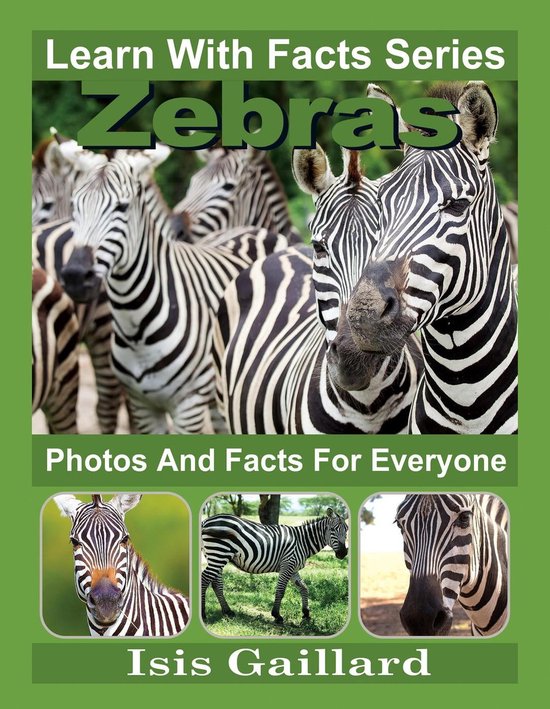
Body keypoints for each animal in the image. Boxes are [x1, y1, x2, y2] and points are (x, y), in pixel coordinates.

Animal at [58, 144, 288, 433]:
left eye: (122, 207)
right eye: (74, 206)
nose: (76, 276)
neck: (136, 326)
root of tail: (250, 229)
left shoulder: (189, 404)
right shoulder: (142, 406)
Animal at [201, 508, 348, 624]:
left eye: (346, 530)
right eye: (332, 530)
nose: (343, 553)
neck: (302, 541)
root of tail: (205, 521)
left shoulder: (293, 568)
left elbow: (304, 588)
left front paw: (306, 613)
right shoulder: (287, 564)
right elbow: (281, 590)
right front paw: (277, 615)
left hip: (216, 556)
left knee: (216, 583)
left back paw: (227, 611)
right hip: (219, 553)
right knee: (205, 578)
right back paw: (203, 614)